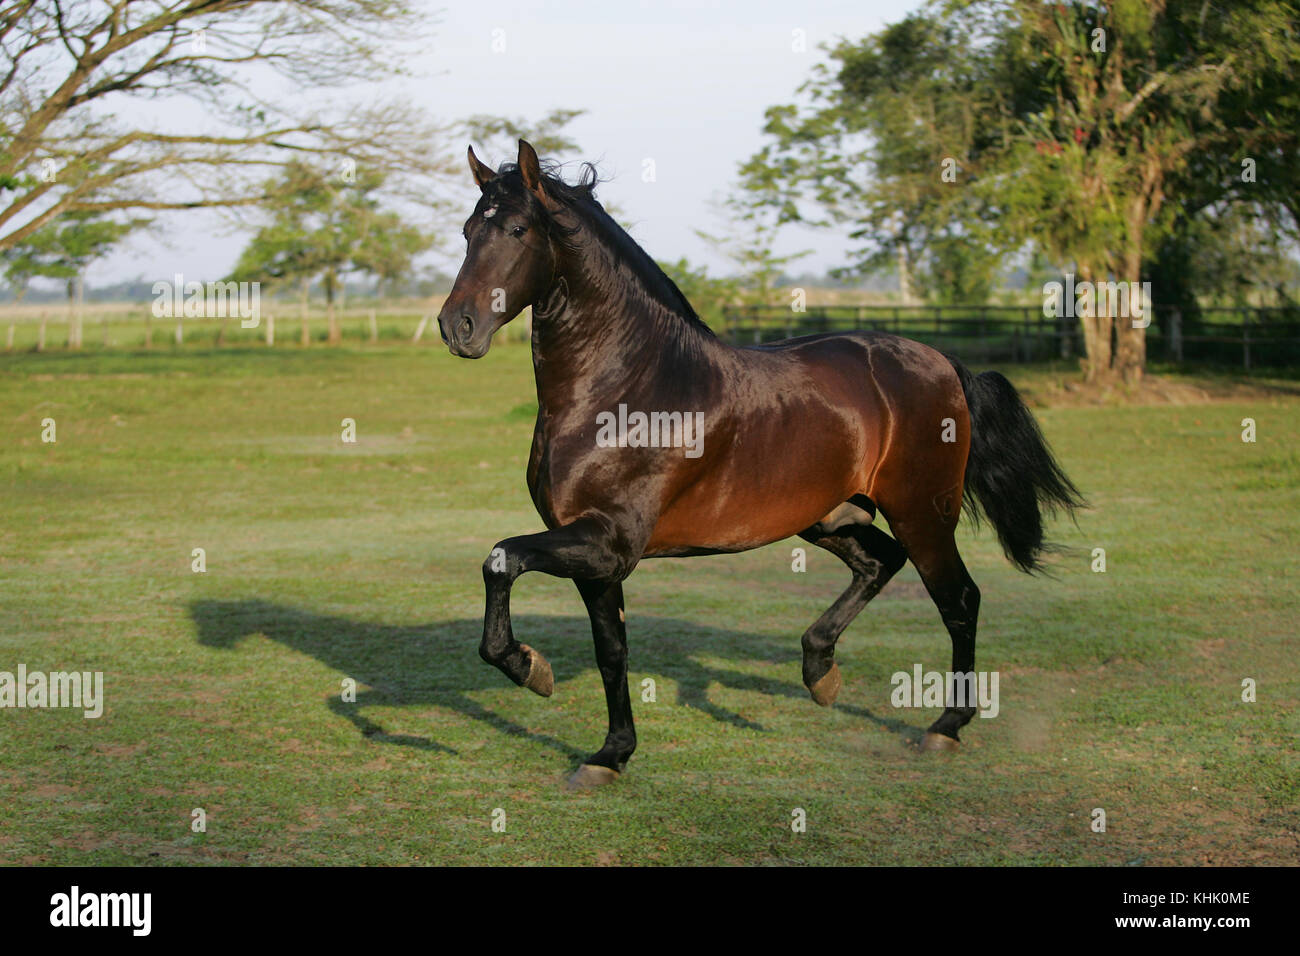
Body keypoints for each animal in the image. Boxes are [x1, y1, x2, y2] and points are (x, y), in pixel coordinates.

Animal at [437, 139, 1083, 788]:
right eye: (468, 230)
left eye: (517, 230)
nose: (455, 327)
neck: (630, 389)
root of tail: (942, 362)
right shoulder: (596, 557)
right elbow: (610, 650)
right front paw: (610, 754)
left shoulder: (609, 542)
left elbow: (501, 560)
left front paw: (529, 668)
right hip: (830, 516)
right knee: (880, 563)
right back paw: (820, 672)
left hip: (921, 516)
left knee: (959, 601)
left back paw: (945, 726)